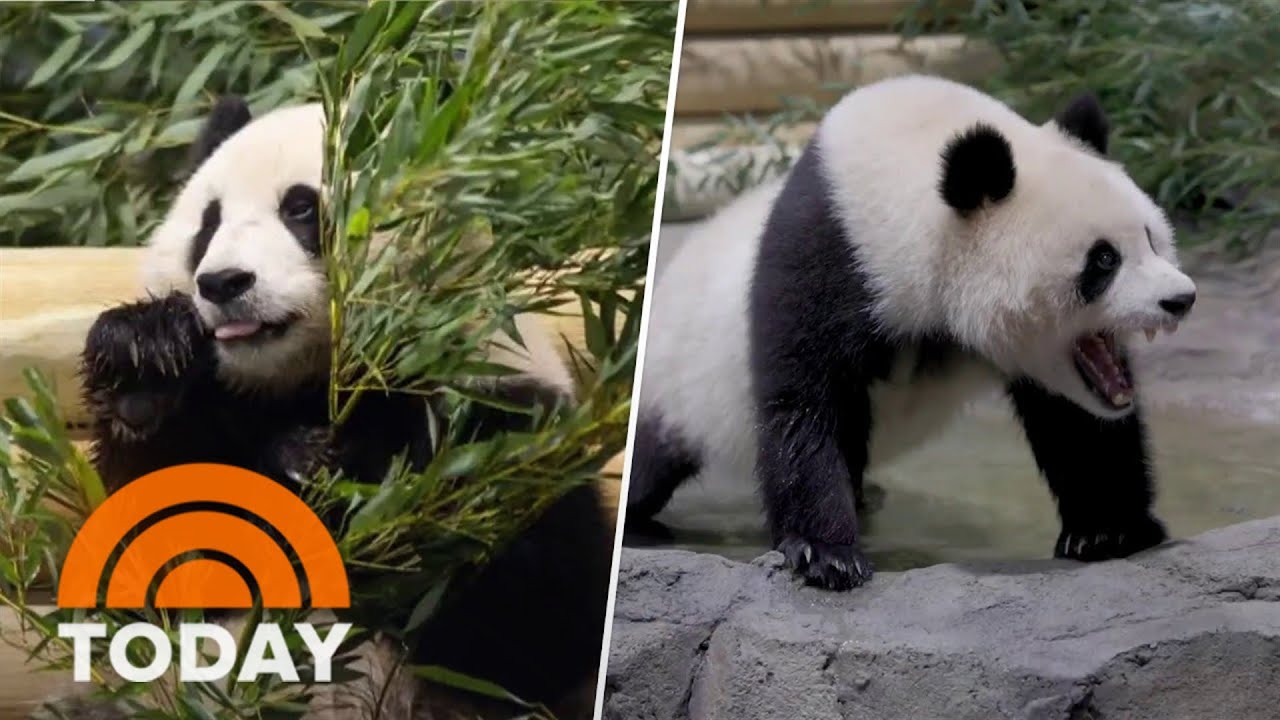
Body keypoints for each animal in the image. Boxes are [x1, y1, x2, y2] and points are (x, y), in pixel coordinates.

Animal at [70, 96, 613, 719]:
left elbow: (528, 619)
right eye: (209, 223)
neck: (314, 378)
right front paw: (145, 358)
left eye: (301, 207)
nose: (223, 282)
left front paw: (330, 469)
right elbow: (153, 579)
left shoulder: (503, 413)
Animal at [627, 74, 1197, 592]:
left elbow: (1078, 423)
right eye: (1103, 260)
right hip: (673, 386)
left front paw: (1108, 531)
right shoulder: (829, 255)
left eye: (1152, 238)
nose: (1181, 299)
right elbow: (805, 400)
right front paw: (827, 556)